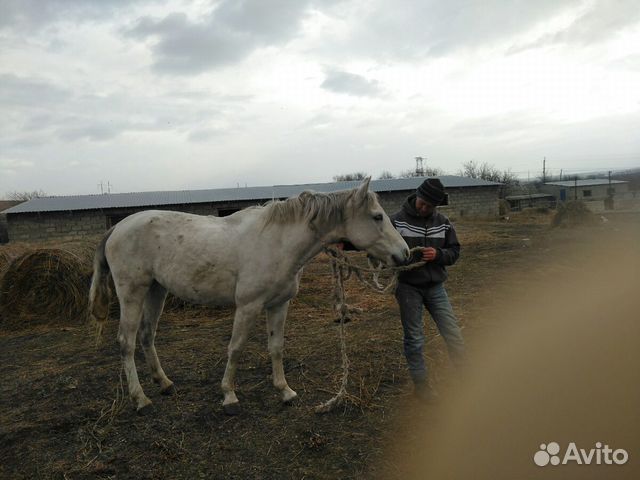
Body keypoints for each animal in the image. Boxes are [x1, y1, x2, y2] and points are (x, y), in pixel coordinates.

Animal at [88, 178, 410, 414]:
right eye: (377, 216)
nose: (404, 254)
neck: (278, 242)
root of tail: (117, 227)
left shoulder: (279, 305)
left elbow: (276, 347)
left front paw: (285, 391)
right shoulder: (248, 306)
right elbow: (236, 348)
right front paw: (229, 396)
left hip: (156, 290)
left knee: (147, 336)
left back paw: (164, 383)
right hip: (132, 292)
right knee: (126, 342)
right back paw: (140, 398)